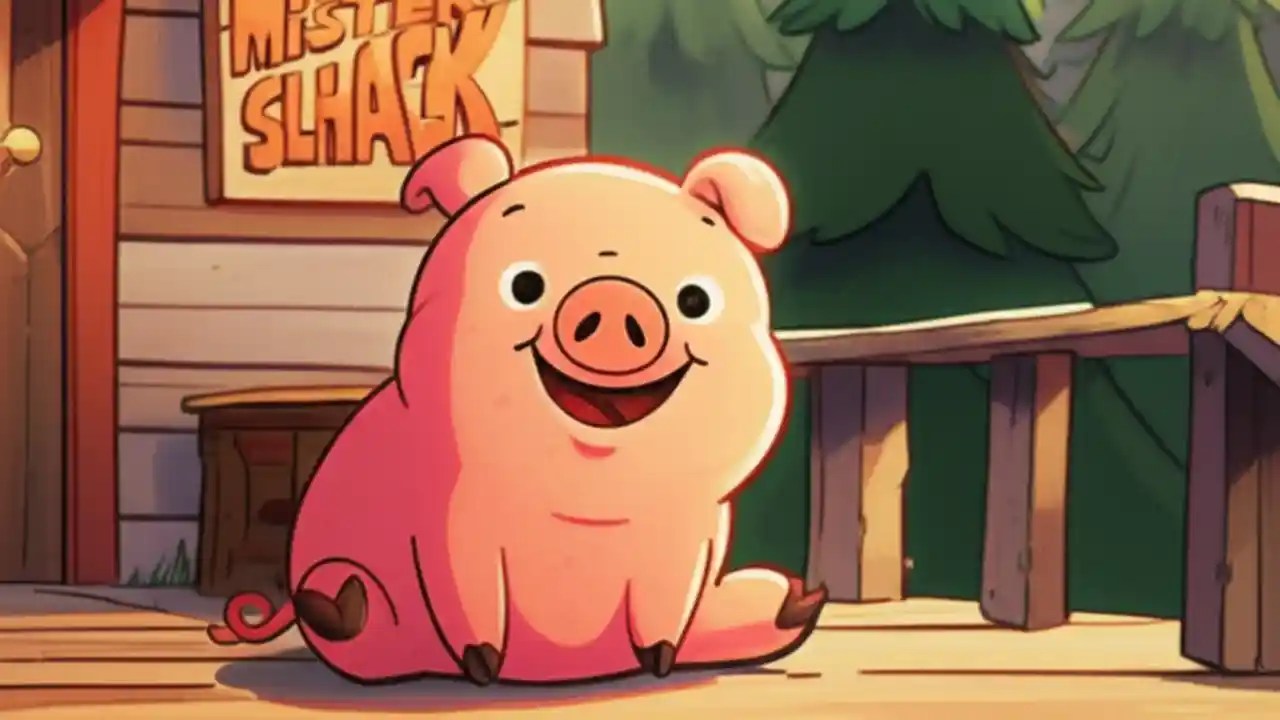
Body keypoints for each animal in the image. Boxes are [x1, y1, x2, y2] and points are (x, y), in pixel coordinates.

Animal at [206, 134, 827, 686]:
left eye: (696, 299)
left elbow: (667, 602)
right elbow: (466, 585)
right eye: (524, 285)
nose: (614, 299)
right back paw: (340, 607)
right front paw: (482, 666)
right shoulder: (452, 514)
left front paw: (660, 659)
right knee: (355, 618)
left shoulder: (693, 525)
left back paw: (793, 604)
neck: (584, 504)